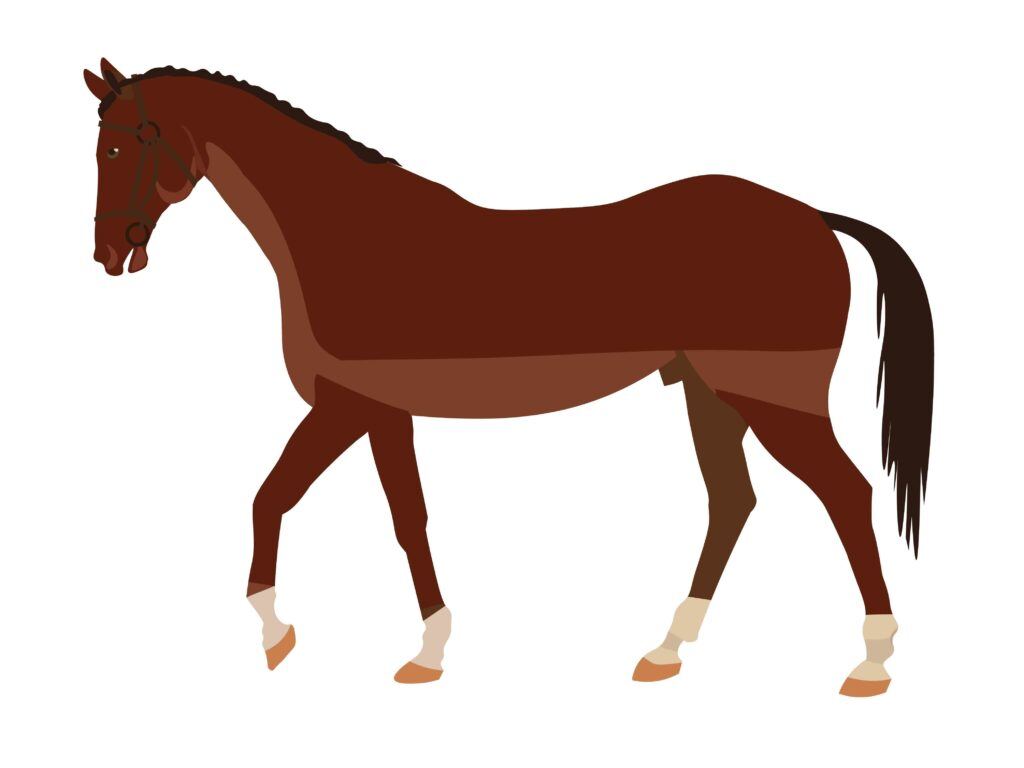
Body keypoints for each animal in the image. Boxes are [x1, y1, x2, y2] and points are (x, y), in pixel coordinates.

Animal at [84, 59, 933, 695]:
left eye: (130, 144)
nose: (110, 252)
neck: (343, 236)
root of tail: (815, 218)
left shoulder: (345, 407)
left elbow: (280, 498)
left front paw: (281, 634)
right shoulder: (379, 413)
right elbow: (398, 518)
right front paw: (419, 651)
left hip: (775, 399)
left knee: (845, 495)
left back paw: (871, 663)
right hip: (710, 395)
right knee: (733, 501)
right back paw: (665, 651)